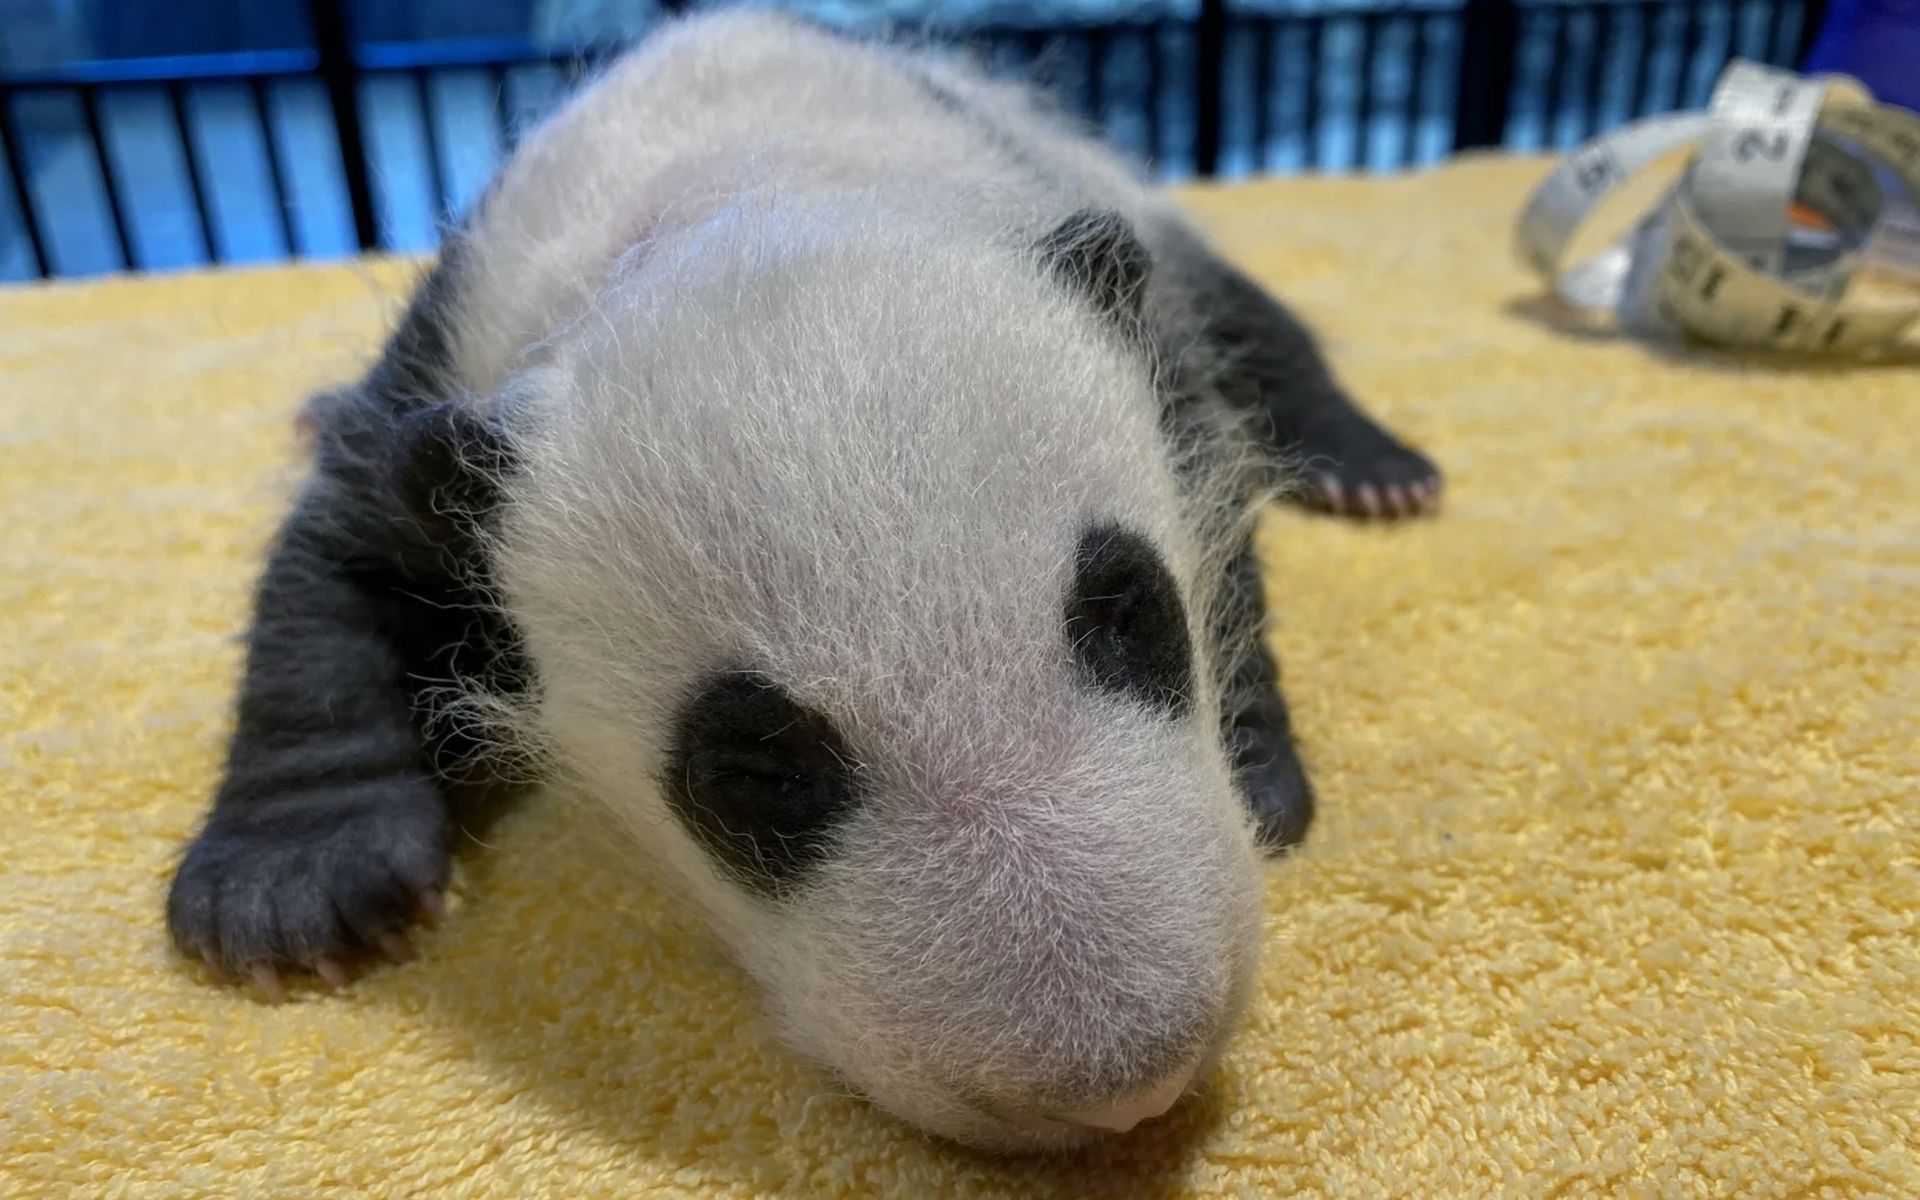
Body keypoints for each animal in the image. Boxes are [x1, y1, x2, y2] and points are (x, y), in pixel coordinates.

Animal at [165, 9, 1442, 1152]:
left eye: (1130, 617)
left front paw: (1260, 775)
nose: (1129, 1081)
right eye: (755, 772)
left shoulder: (1137, 347)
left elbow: (1217, 490)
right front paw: (293, 889)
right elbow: (335, 567)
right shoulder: (463, 378)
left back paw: (1372, 467)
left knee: (1238, 301)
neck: (750, 201)